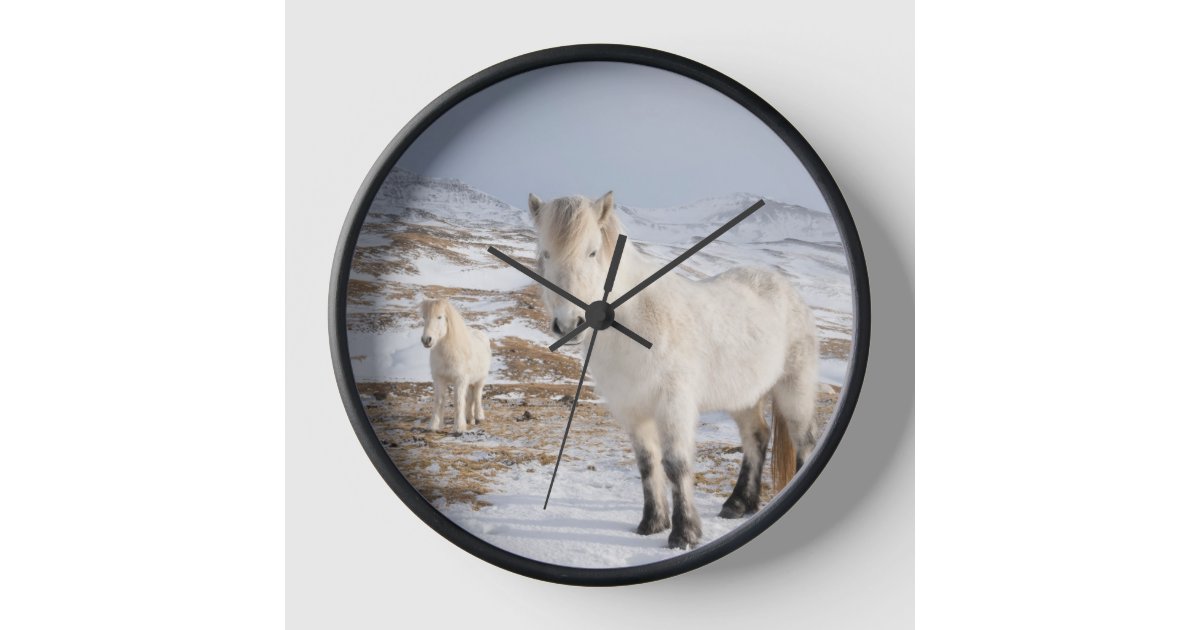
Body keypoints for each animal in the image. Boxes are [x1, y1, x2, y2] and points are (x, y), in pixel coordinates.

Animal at [419, 298, 492, 434]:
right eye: (424, 317)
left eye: (439, 317)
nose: (426, 340)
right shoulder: (439, 379)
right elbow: (439, 400)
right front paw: (434, 426)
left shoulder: (460, 380)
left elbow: (458, 401)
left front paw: (459, 428)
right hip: (470, 382)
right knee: (470, 397)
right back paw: (469, 418)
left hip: (480, 379)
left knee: (477, 396)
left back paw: (479, 417)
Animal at [528, 191, 820, 549]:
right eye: (545, 252)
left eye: (592, 251)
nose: (569, 324)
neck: (637, 323)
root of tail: (784, 287)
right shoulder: (632, 410)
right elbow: (647, 463)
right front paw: (652, 523)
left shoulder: (673, 404)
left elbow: (675, 464)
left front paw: (684, 534)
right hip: (744, 397)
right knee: (756, 437)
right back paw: (738, 504)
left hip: (795, 387)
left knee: (804, 439)